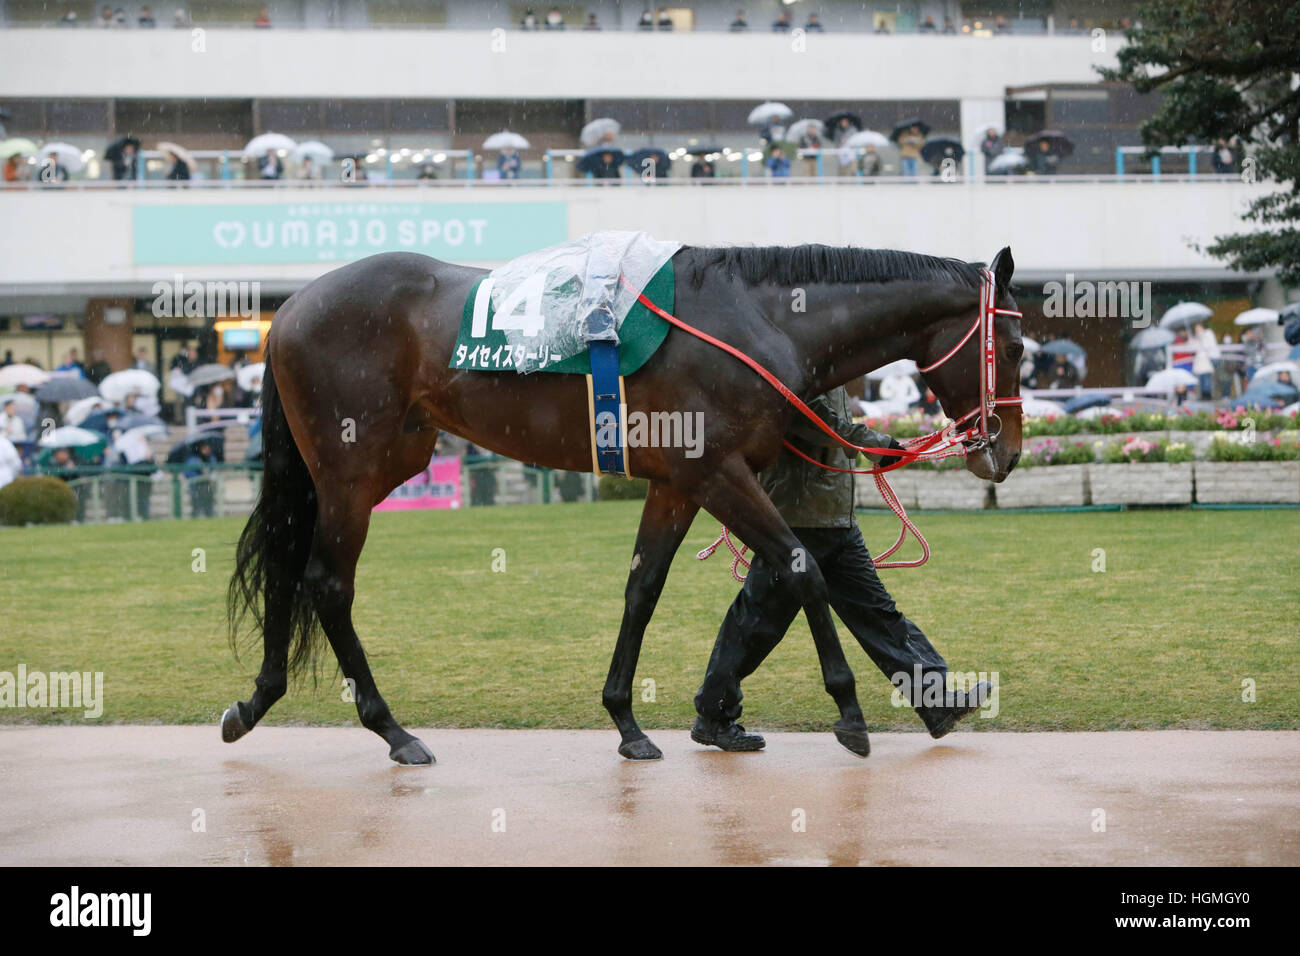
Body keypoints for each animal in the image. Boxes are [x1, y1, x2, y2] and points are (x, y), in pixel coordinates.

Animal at [224, 243, 1023, 764]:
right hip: (353, 473)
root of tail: (288, 310)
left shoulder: (677, 482)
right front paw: (850, 711)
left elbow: (644, 590)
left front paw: (628, 722)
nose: (1005, 452)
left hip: (363, 466)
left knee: (291, 572)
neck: (753, 317)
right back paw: (391, 729)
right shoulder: (716, 472)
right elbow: (802, 567)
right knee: (326, 583)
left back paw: (256, 701)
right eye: (1014, 346)